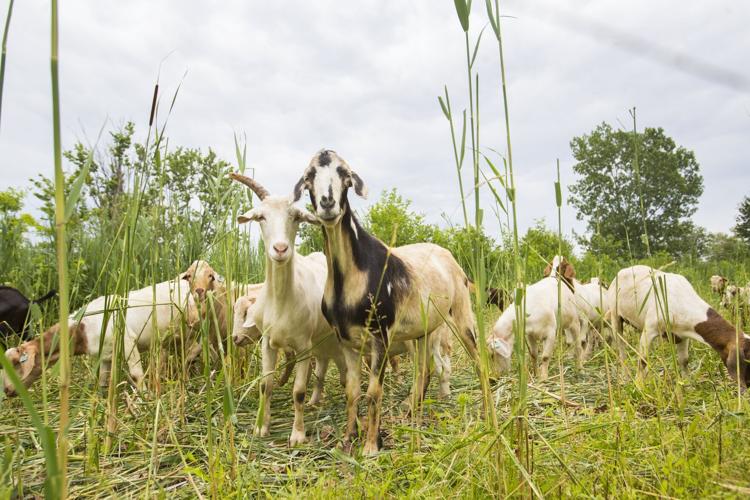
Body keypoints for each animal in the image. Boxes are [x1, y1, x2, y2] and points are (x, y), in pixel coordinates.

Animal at [231, 172, 347, 446]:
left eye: (295, 217)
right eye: (261, 217)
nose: (281, 249)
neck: (282, 302)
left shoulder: (303, 346)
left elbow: (298, 391)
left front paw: (297, 435)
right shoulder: (267, 342)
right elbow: (266, 385)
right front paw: (261, 427)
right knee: (323, 365)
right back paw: (317, 399)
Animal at [293, 149, 479, 455]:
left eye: (345, 175)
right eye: (309, 177)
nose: (328, 203)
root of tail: (448, 256)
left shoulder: (380, 335)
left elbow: (373, 392)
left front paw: (370, 445)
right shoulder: (347, 341)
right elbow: (352, 392)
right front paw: (347, 440)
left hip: (461, 311)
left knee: (475, 354)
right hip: (424, 330)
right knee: (424, 371)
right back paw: (411, 412)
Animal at [608, 265, 750, 390]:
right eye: (747, 359)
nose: (747, 384)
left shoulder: (683, 335)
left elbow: (684, 360)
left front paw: (688, 386)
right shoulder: (650, 329)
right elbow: (642, 360)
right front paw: (639, 386)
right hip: (615, 316)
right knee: (621, 350)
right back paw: (626, 378)